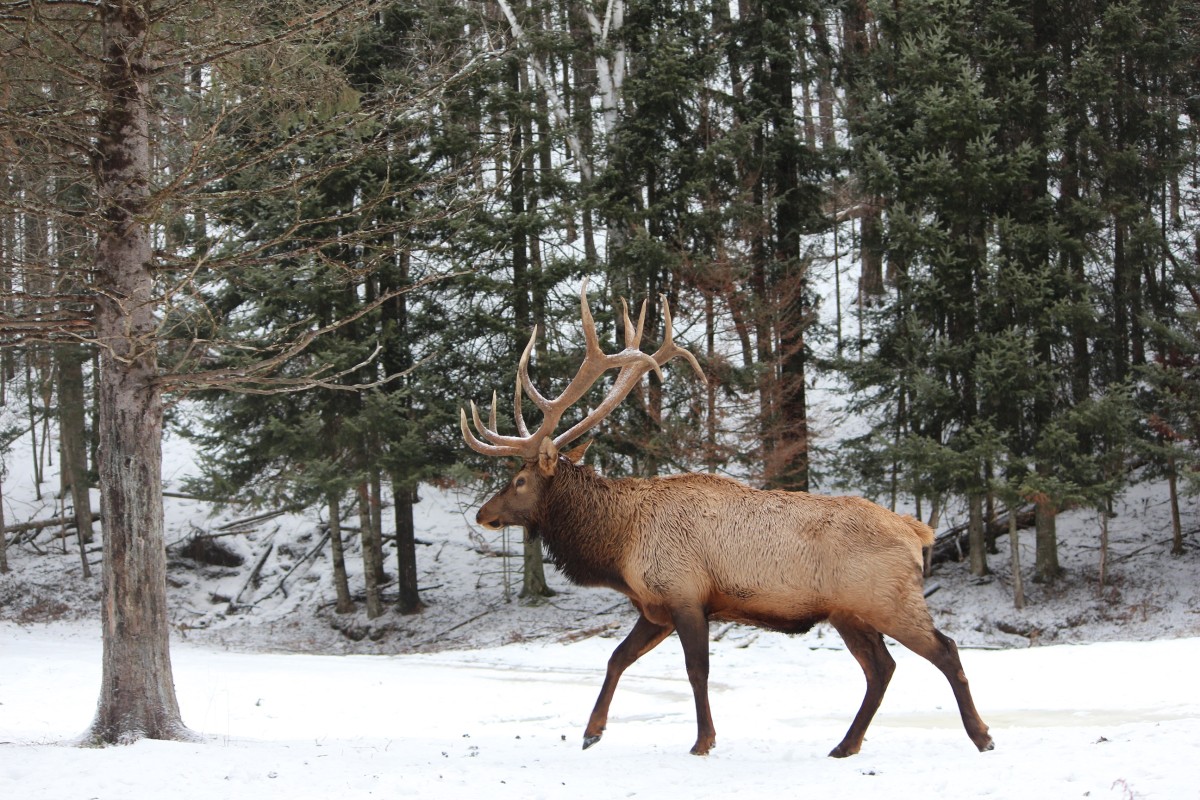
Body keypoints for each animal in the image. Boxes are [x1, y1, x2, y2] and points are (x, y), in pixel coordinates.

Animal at [460, 282, 993, 759]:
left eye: (519, 480)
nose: (483, 514)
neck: (619, 546)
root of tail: (917, 530)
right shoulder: (655, 607)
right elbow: (616, 658)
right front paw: (592, 732)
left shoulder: (685, 594)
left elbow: (697, 671)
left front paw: (703, 741)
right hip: (850, 613)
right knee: (881, 668)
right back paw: (846, 745)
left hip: (887, 598)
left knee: (945, 650)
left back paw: (980, 736)